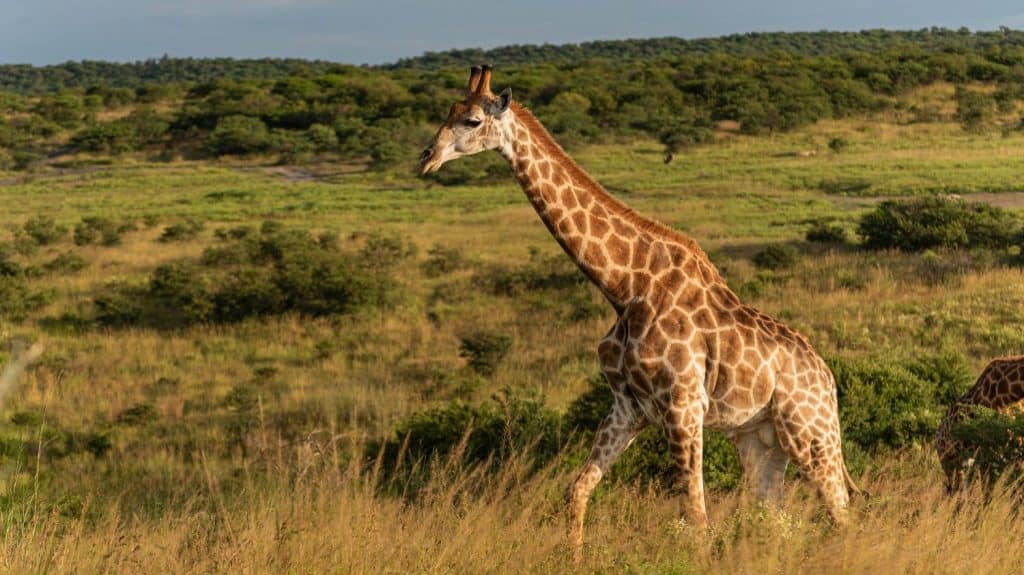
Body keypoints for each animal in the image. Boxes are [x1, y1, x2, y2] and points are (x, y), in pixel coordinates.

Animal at [418, 65, 860, 558]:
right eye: (448, 111)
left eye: (473, 120)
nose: (426, 158)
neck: (625, 288)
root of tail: (828, 380)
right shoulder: (628, 405)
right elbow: (577, 491)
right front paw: (574, 557)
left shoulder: (683, 404)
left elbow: (696, 517)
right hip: (760, 441)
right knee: (777, 515)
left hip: (811, 433)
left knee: (842, 515)